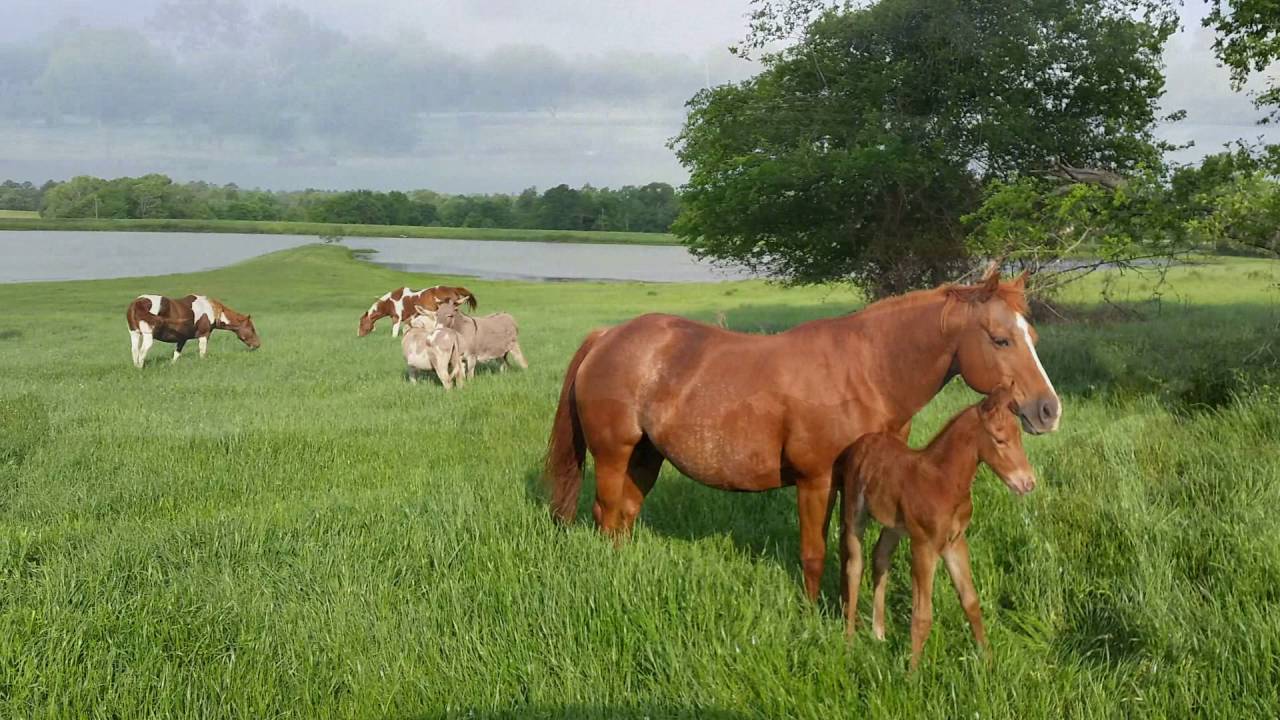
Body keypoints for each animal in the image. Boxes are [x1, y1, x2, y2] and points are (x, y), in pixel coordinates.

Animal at [126, 294, 260, 368]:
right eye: (252, 329)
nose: (258, 344)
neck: (210, 310)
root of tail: (138, 302)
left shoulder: (182, 339)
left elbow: (176, 354)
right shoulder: (204, 335)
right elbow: (202, 352)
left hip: (134, 333)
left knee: (134, 350)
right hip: (147, 336)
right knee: (143, 350)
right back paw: (141, 368)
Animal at [544, 268, 1060, 600]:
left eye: (1032, 336)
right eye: (1000, 339)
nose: (1048, 410)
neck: (865, 372)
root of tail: (607, 336)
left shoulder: (852, 483)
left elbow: (848, 551)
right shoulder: (815, 481)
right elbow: (813, 552)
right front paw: (812, 615)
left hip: (646, 456)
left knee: (626, 514)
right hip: (614, 454)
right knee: (607, 512)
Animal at [838, 384, 1034, 669]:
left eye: (1019, 435)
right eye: (999, 439)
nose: (1028, 483)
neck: (943, 481)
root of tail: (861, 442)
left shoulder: (955, 542)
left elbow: (970, 600)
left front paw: (987, 661)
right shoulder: (924, 546)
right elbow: (922, 615)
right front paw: (912, 673)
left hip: (894, 526)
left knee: (880, 558)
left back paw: (879, 634)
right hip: (855, 514)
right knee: (855, 566)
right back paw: (851, 642)